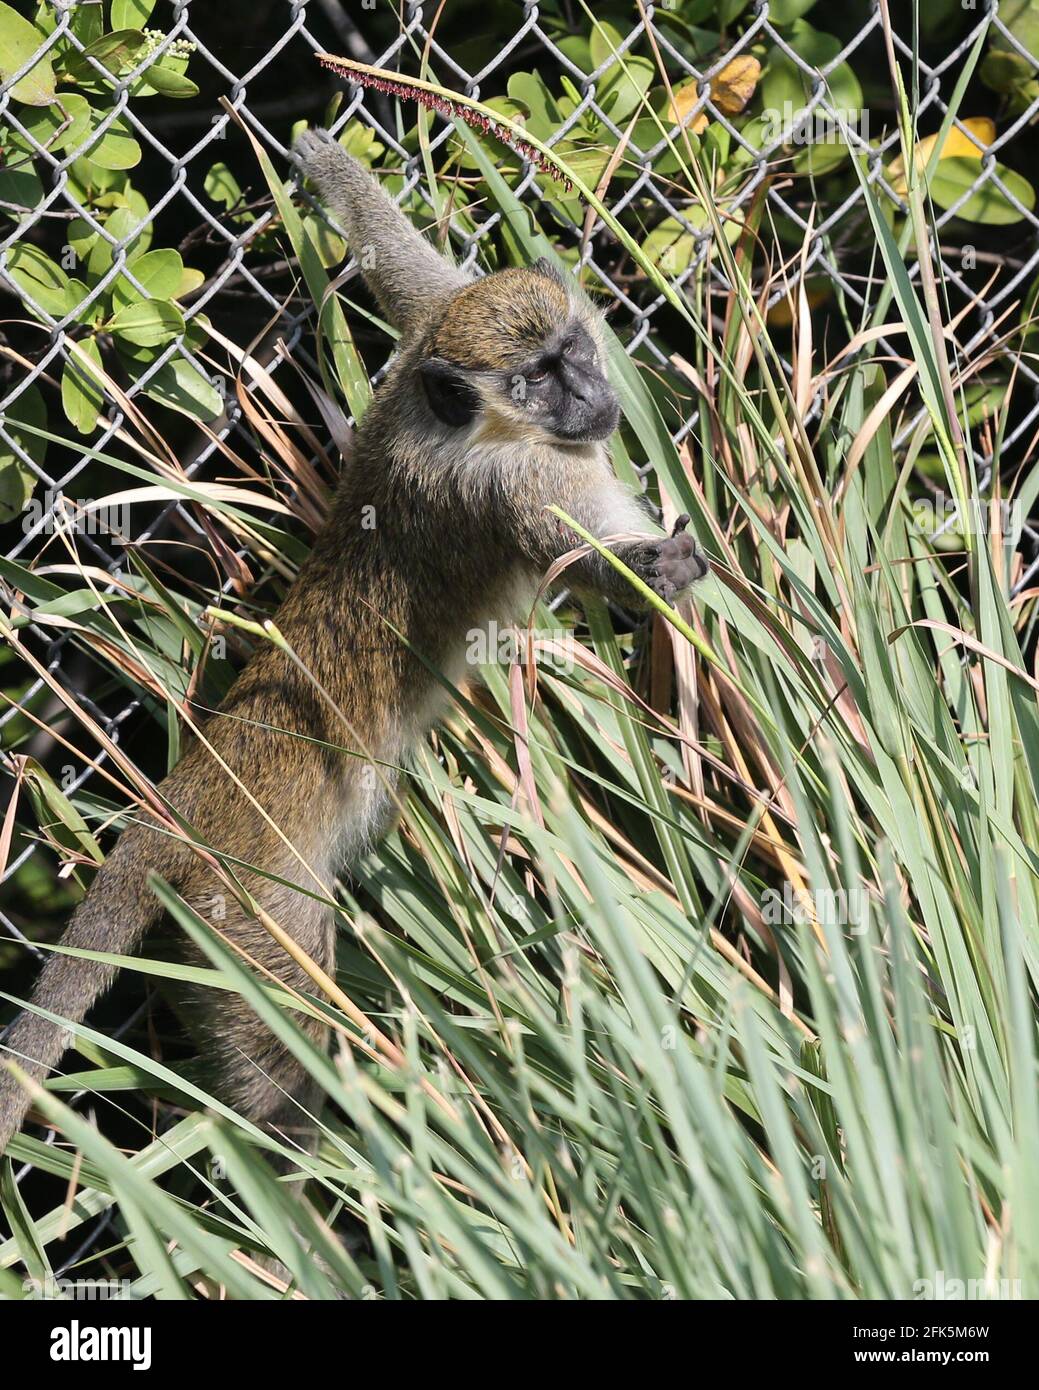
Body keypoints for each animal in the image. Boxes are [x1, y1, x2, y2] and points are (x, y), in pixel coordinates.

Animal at [0, 127, 707, 1161]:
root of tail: (181, 802)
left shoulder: (427, 339)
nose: (592, 394)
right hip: (251, 908)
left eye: (572, 351)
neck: (467, 426)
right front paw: (667, 569)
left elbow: (410, 273)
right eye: (537, 379)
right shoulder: (522, 487)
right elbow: (600, 565)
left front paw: (320, 161)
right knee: (284, 1063)